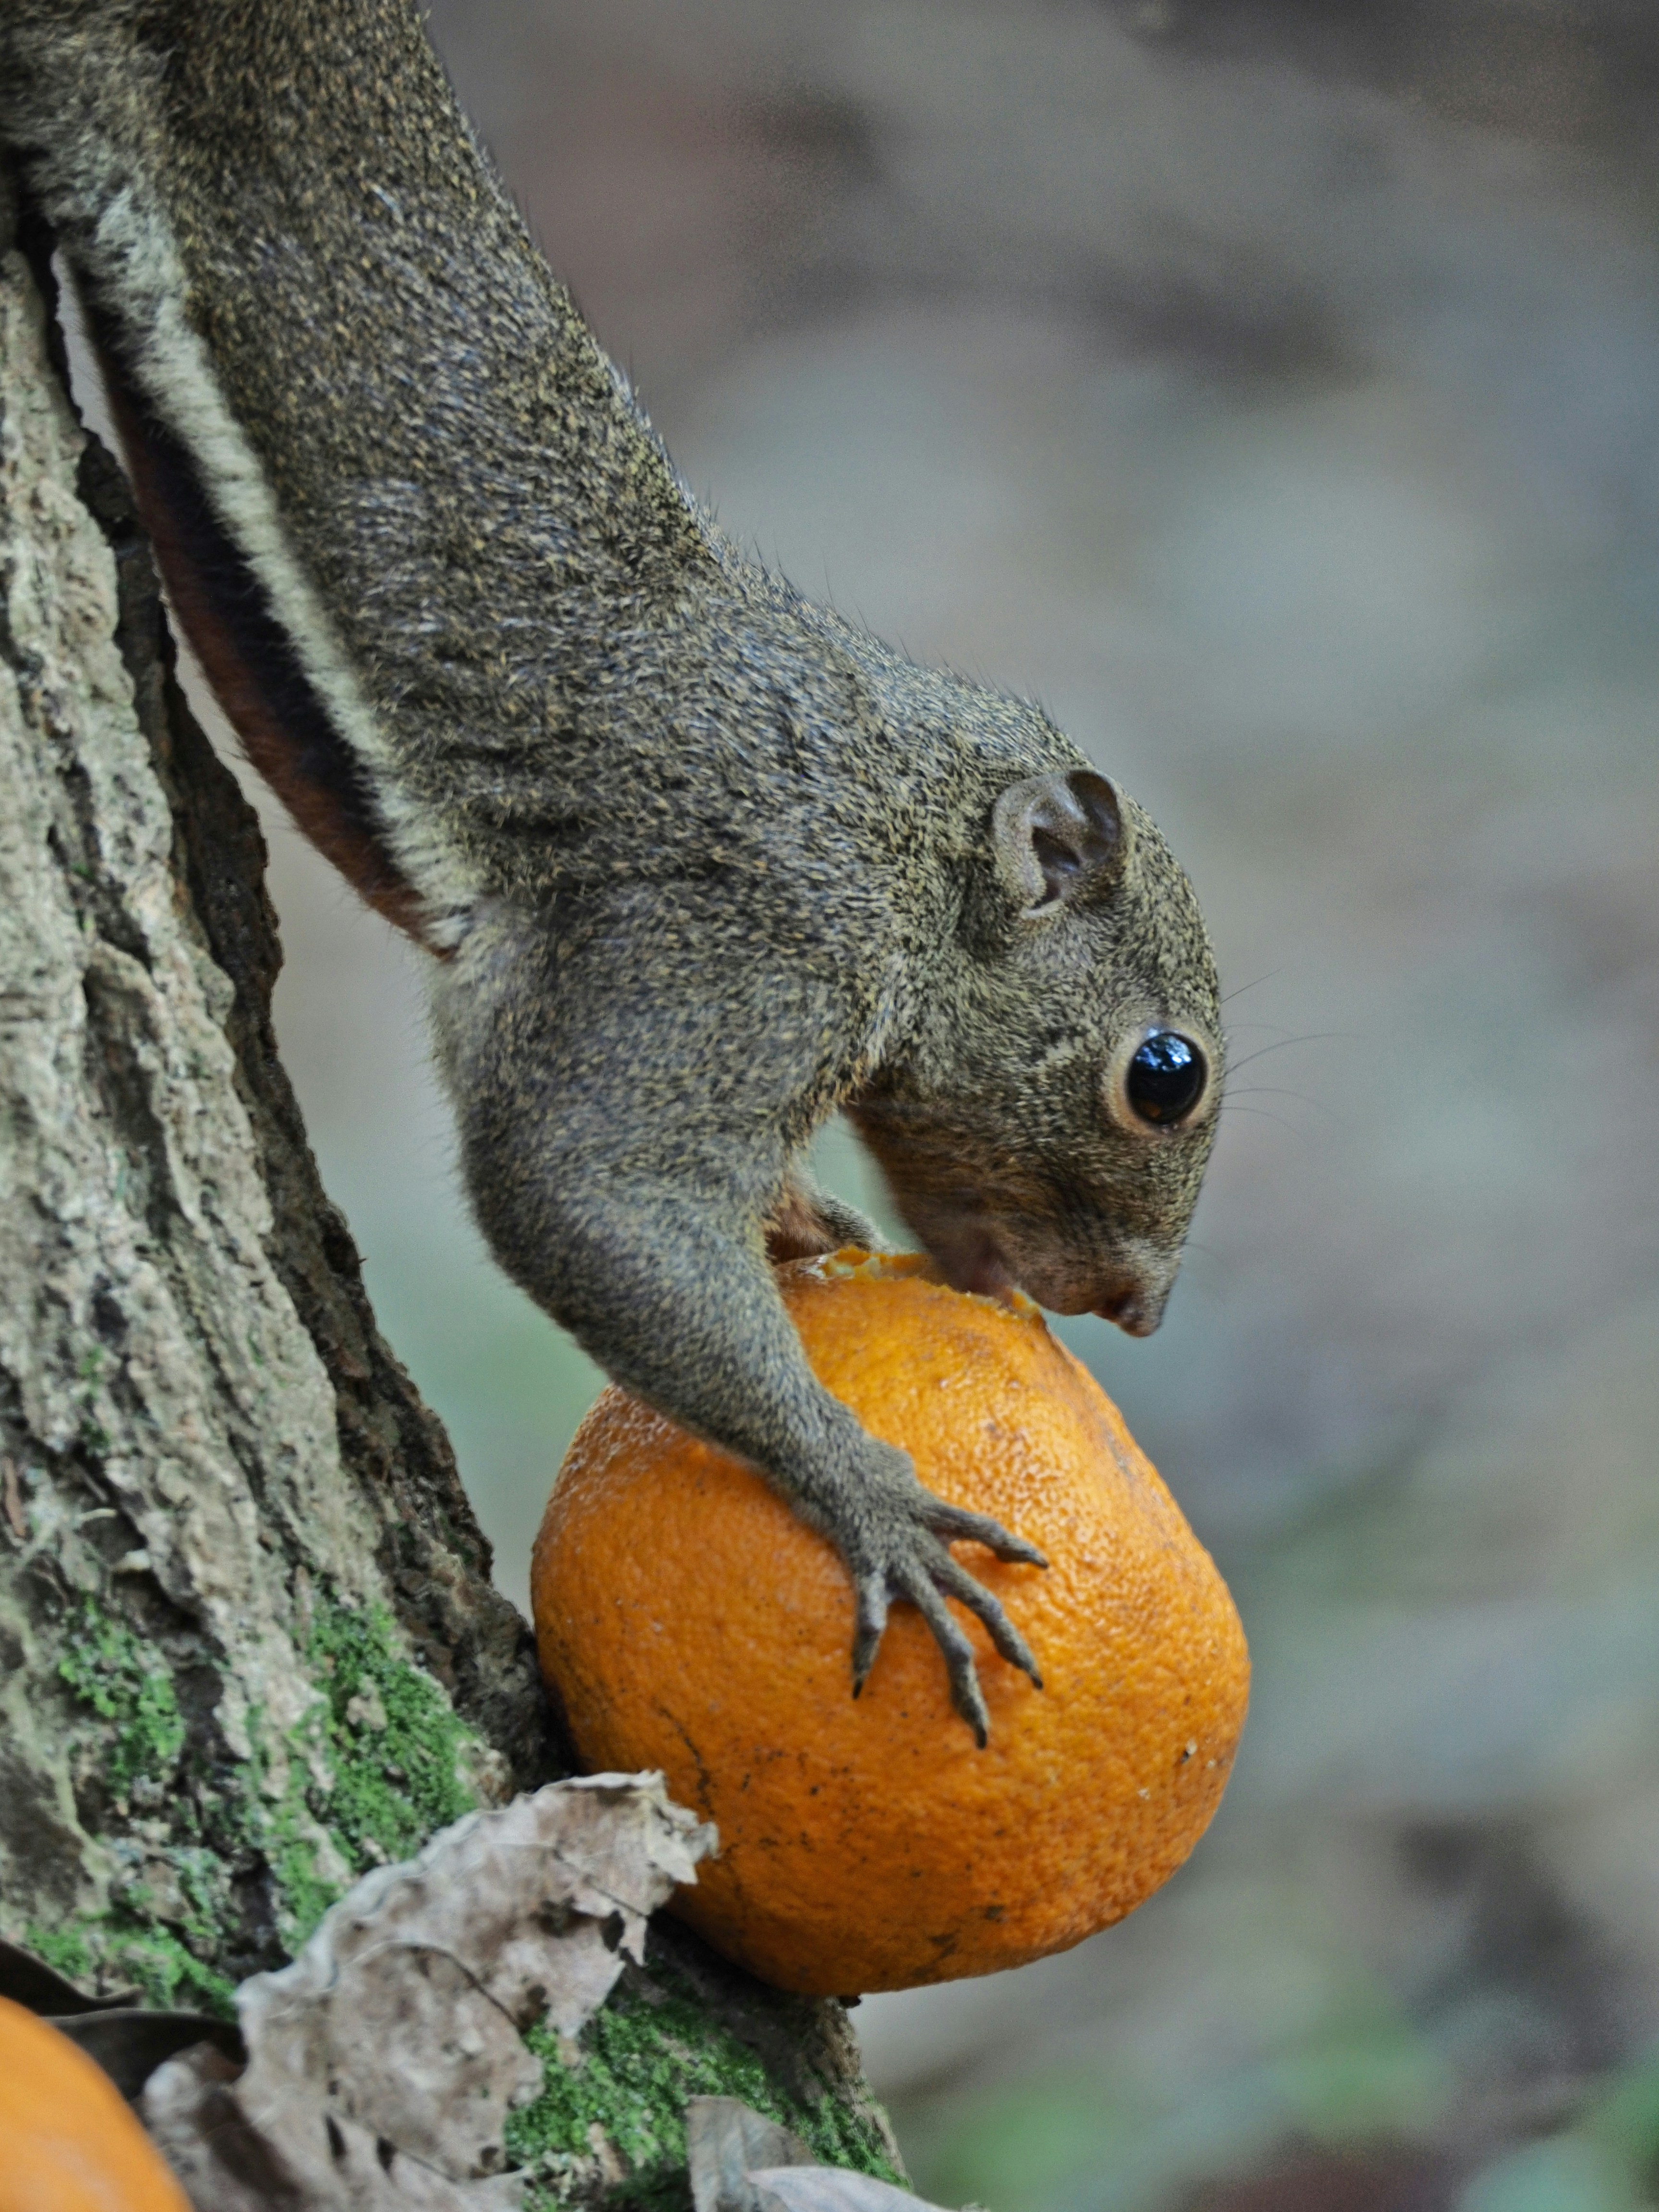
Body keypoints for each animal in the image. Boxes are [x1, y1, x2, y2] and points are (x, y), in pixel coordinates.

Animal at [1, 0, 1223, 1744]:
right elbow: (589, 1184)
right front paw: (873, 1498)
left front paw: (799, 1218)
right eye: (1162, 1074)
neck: (886, 817)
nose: (1142, 1312)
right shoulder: (750, 919)